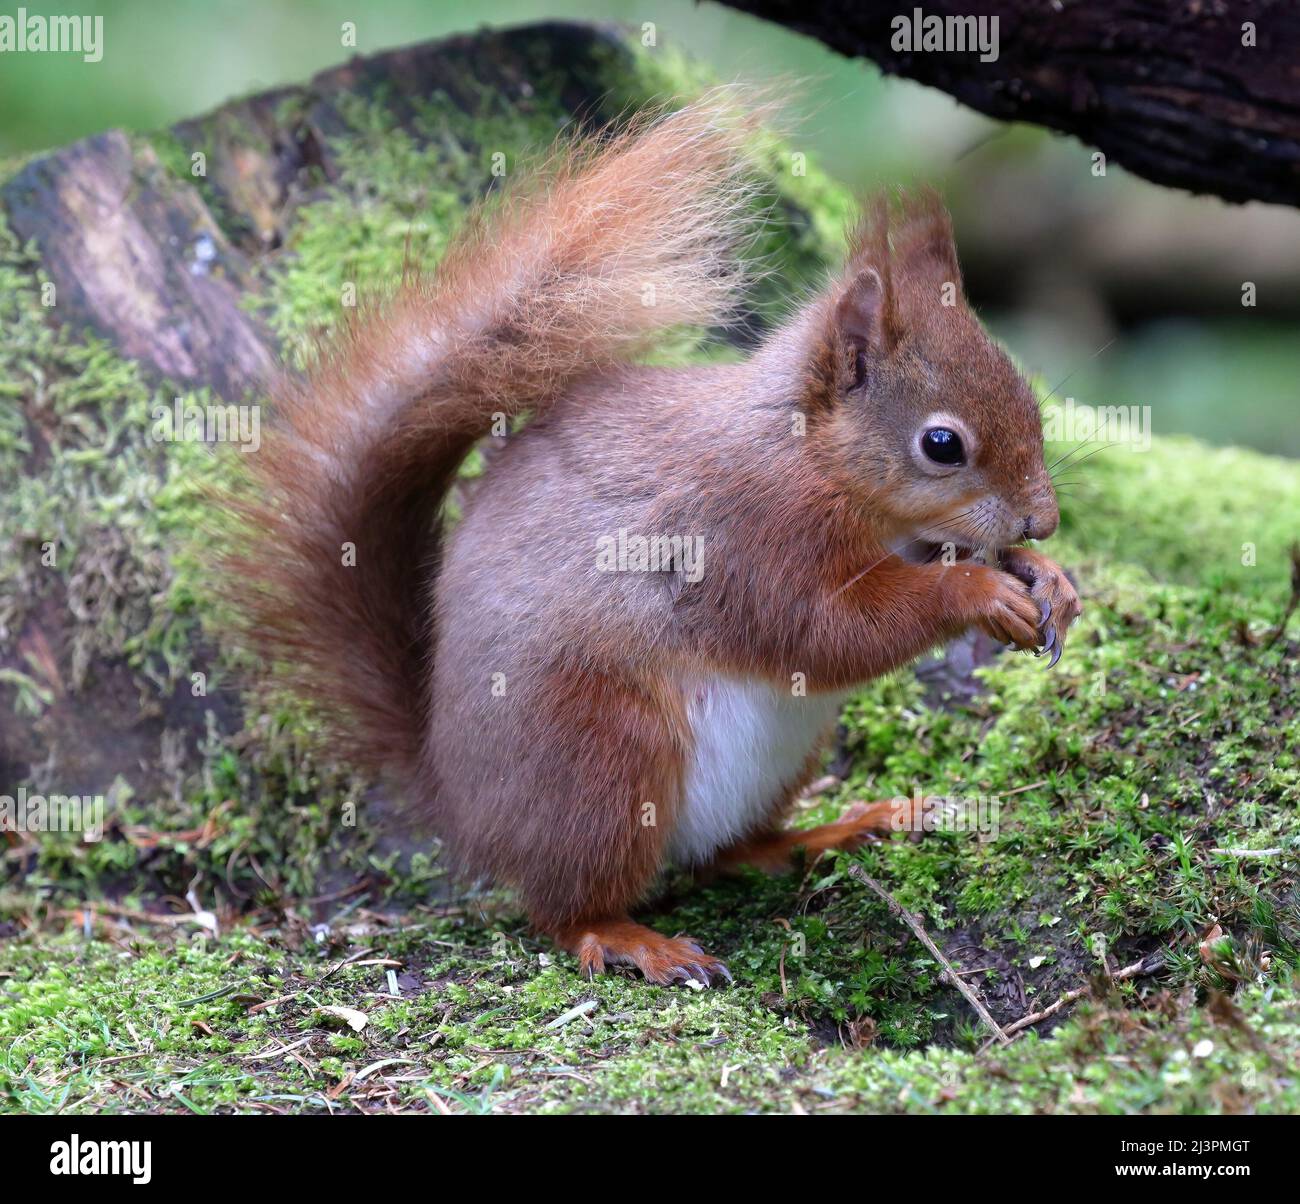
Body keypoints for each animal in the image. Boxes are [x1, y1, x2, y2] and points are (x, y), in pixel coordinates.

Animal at [221, 94, 1081, 986]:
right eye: (942, 445)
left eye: (1029, 400)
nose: (1042, 519)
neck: (809, 454)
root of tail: (459, 801)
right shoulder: (745, 535)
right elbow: (830, 631)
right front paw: (977, 591)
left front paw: (1045, 576)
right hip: (606, 756)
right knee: (566, 907)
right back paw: (634, 940)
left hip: (781, 756)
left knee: (728, 853)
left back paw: (838, 829)